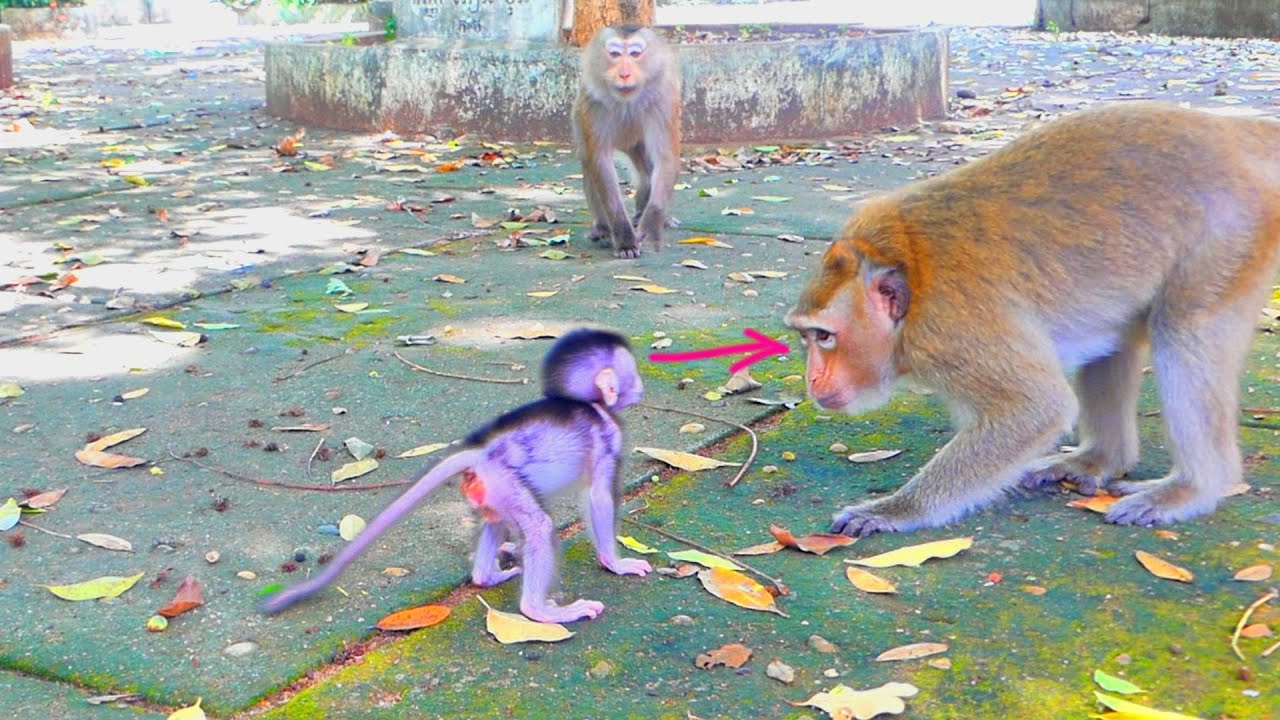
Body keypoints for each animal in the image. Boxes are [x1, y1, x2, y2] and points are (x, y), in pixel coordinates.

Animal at [260, 328, 651, 623]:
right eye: (632, 375)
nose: (641, 388)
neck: (591, 405)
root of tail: (482, 453)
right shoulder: (609, 436)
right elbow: (597, 497)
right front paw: (615, 563)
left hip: (491, 489)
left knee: (498, 522)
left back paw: (488, 575)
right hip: (504, 482)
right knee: (539, 525)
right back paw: (539, 611)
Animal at [573, 24, 681, 259]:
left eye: (634, 54)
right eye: (614, 54)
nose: (624, 73)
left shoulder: (664, 98)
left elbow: (666, 157)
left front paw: (652, 222)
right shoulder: (593, 103)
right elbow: (599, 160)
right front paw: (624, 238)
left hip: (637, 143)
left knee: (648, 173)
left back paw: (648, 215)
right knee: (588, 163)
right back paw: (602, 228)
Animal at [785, 101, 1280, 537]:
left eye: (824, 336)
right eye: (806, 337)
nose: (812, 379)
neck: (910, 280)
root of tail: (1235, 130)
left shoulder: (951, 332)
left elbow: (1036, 408)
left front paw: (895, 509)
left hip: (1231, 238)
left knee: (1182, 328)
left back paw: (1193, 488)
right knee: (1116, 340)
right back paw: (1098, 459)